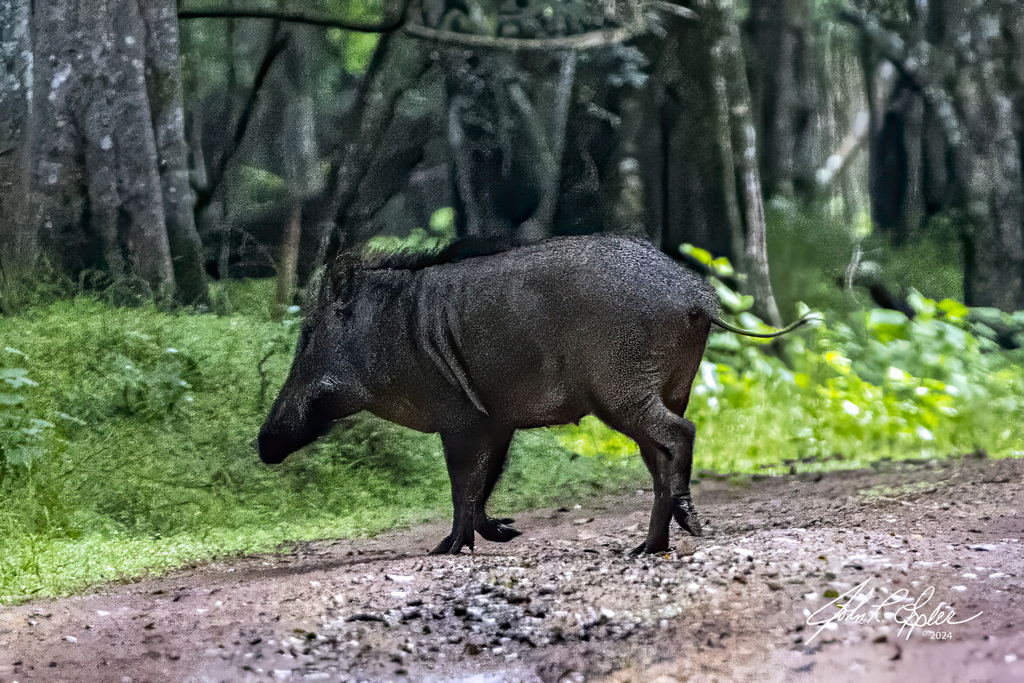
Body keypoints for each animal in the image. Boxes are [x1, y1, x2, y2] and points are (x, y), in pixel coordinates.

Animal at [257, 235, 813, 554]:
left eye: (308, 333)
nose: (263, 444)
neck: (389, 335)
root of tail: (698, 300)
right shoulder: (495, 420)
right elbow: (483, 482)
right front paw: (505, 532)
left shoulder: (459, 418)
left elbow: (463, 484)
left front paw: (444, 549)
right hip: (667, 389)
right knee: (662, 454)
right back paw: (649, 546)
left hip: (624, 395)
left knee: (681, 434)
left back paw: (676, 534)